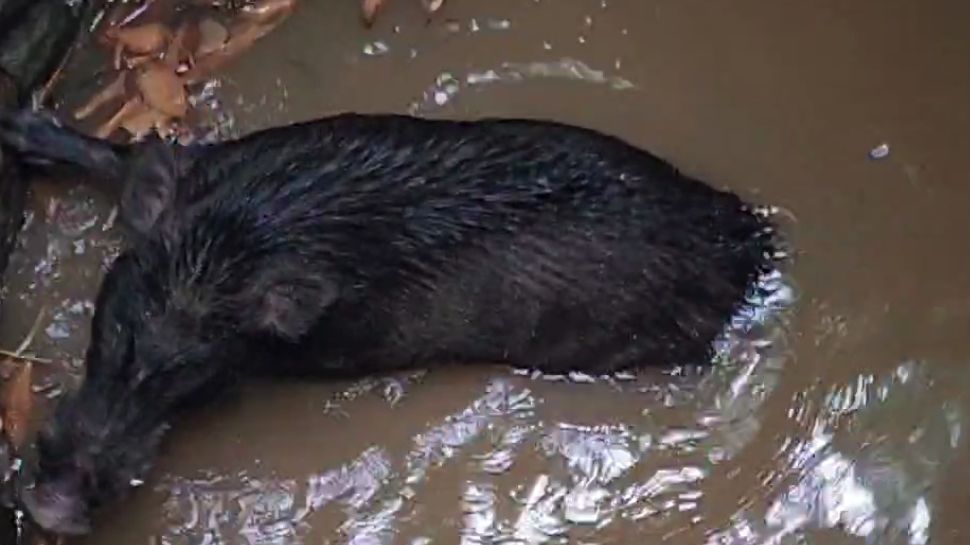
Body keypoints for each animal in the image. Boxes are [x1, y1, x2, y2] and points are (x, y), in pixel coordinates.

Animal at [0, 107, 780, 534]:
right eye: (115, 330)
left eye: (191, 375)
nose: (50, 504)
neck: (249, 235)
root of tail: (750, 239)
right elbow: (127, 159)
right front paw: (21, 129)